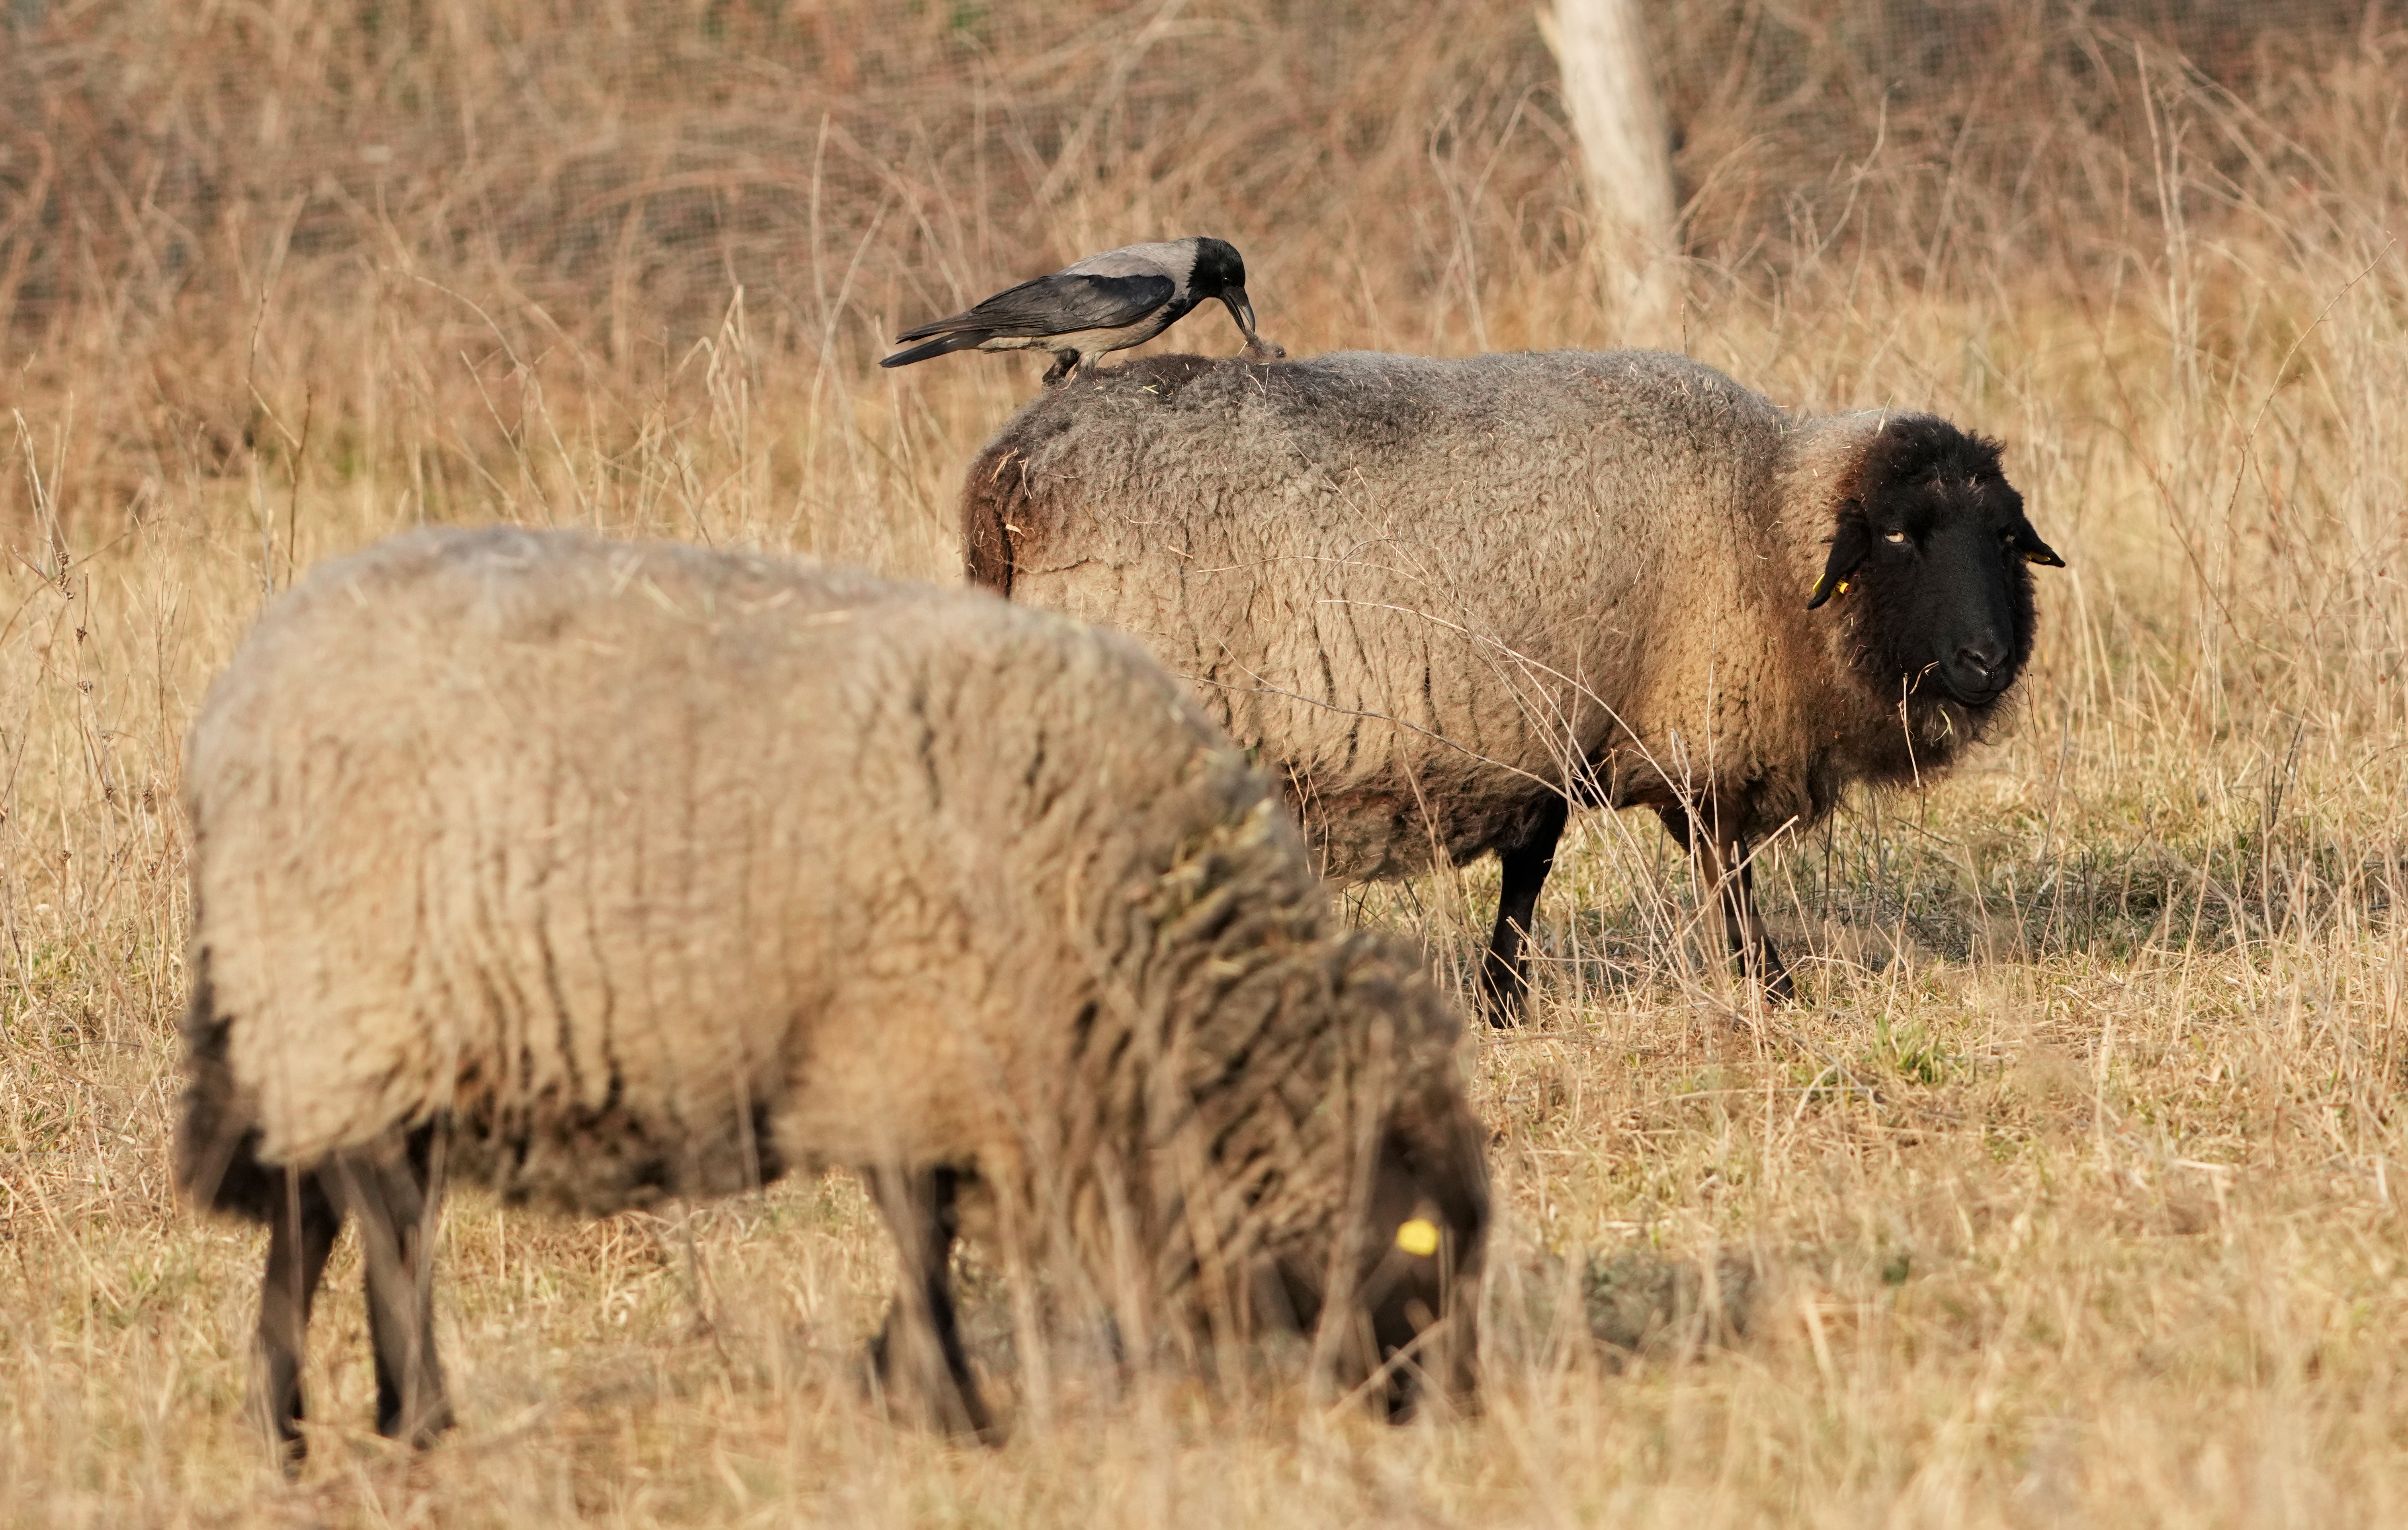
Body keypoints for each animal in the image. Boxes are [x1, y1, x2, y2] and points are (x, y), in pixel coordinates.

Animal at [174, 525, 1488, 1459]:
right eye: (1420, 1231)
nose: (1457, 1416)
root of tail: (236, 702)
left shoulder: (939, 1068)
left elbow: (929, 1228)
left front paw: (899, 1380)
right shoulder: (915, 1041)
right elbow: (921, 1232)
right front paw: (953, 1412)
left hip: (339, 1021)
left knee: (316, 1210)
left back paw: (300, 1430)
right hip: (350, 995)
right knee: (376, 1215)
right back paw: (418, 1419)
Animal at [961, 349, 2065, 1018]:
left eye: (2007, 538)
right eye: (1900, 537)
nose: (1986, 662)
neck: (1760, 520)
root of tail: (1009, 470)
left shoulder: (1551, 729)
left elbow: (1530, 872)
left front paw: (1501, 1001)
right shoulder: (1688, 728)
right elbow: (1726, 874)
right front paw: (1776, 989)